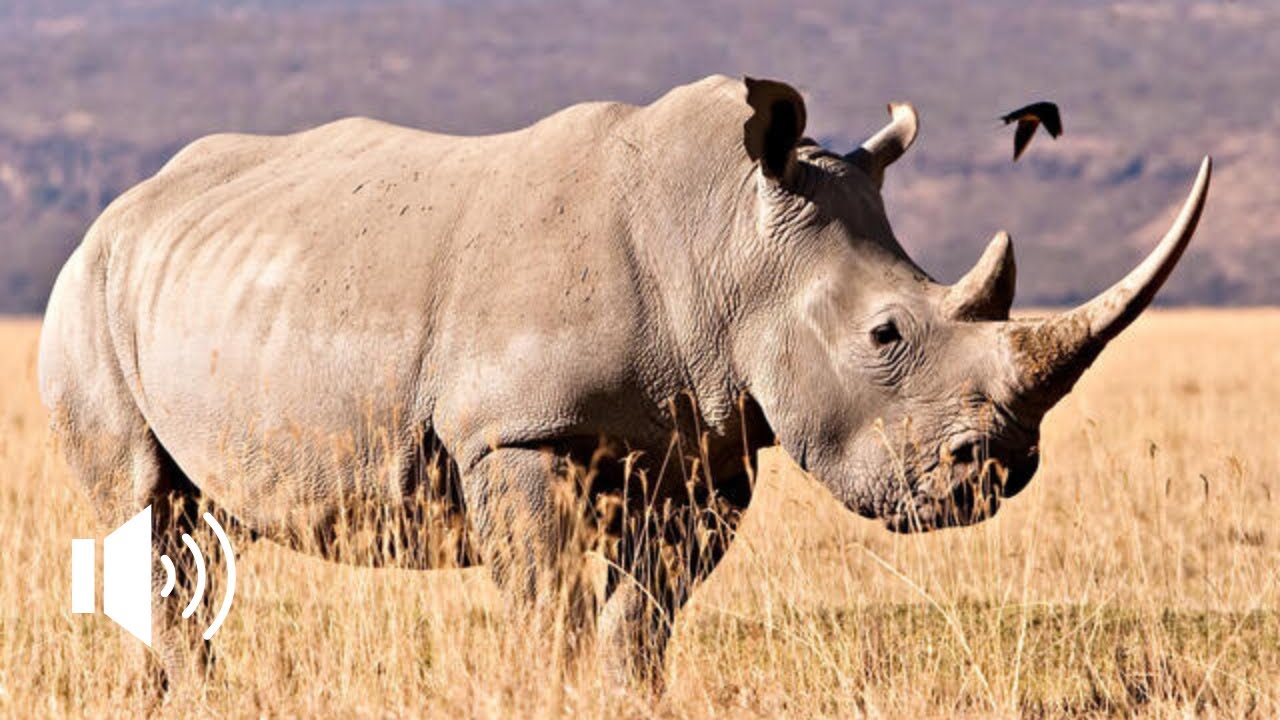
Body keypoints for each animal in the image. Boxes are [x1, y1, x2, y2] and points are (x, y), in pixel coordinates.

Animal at [39, 75, 1210, 692]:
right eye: (885, 334)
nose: (996, 471)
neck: (727, 239)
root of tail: (121, 209)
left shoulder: (708, 446)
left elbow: (644, 613)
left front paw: (624, 695)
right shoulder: (516, 432)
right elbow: (551, 601)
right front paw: (547, 692)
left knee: (186, 524)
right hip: (86, 293)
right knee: (145, 503)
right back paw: (198, 691)